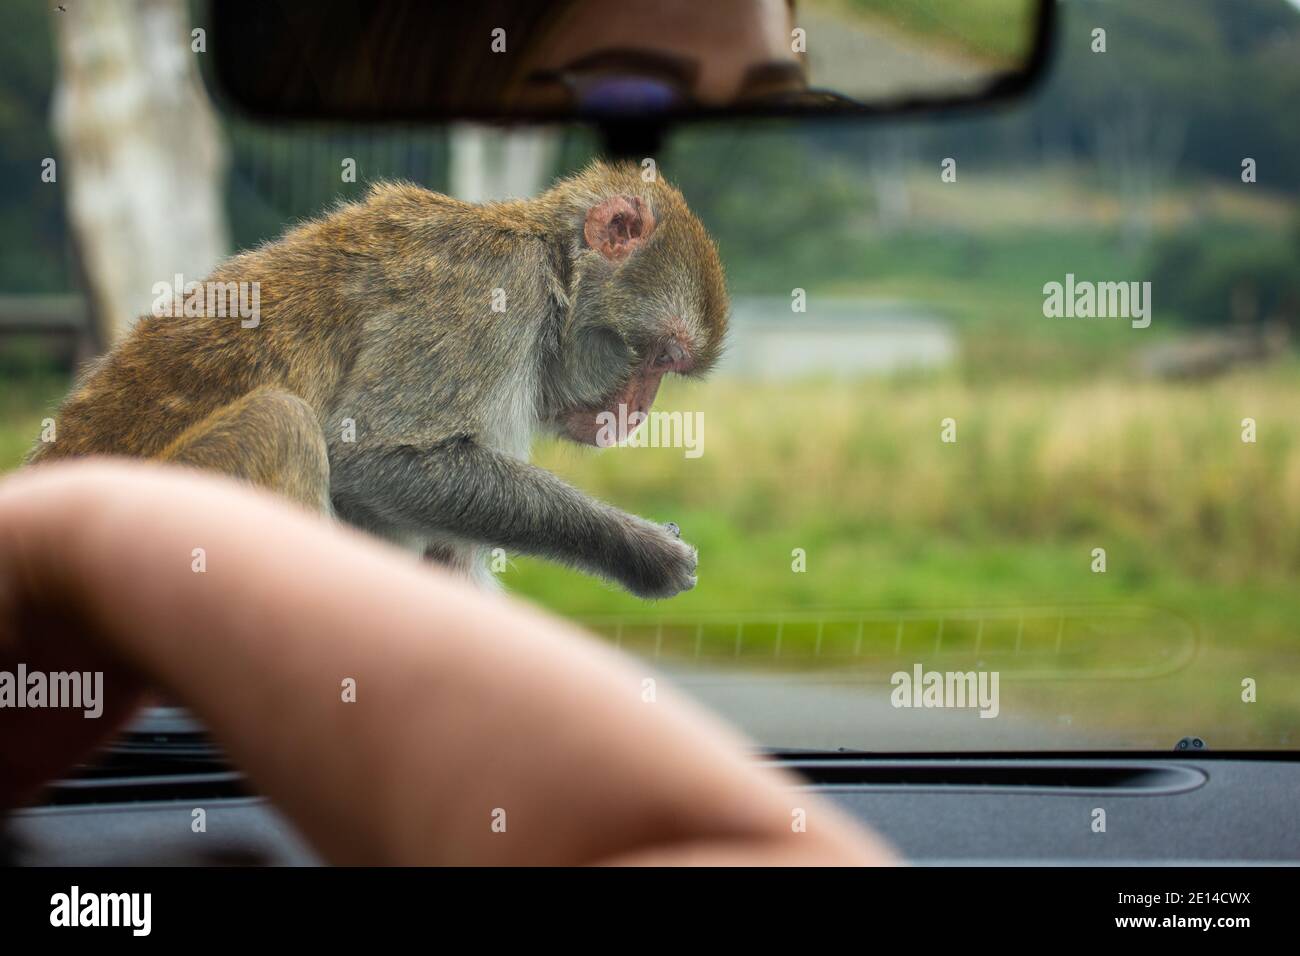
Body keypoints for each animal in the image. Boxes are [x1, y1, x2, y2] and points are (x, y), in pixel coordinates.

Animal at [27, 161, 728, 599]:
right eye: (659, 358)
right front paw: (640, 550)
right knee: (282, 424)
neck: (554, 275)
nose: (636, 413)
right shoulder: (488, 298)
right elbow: (372, 457)